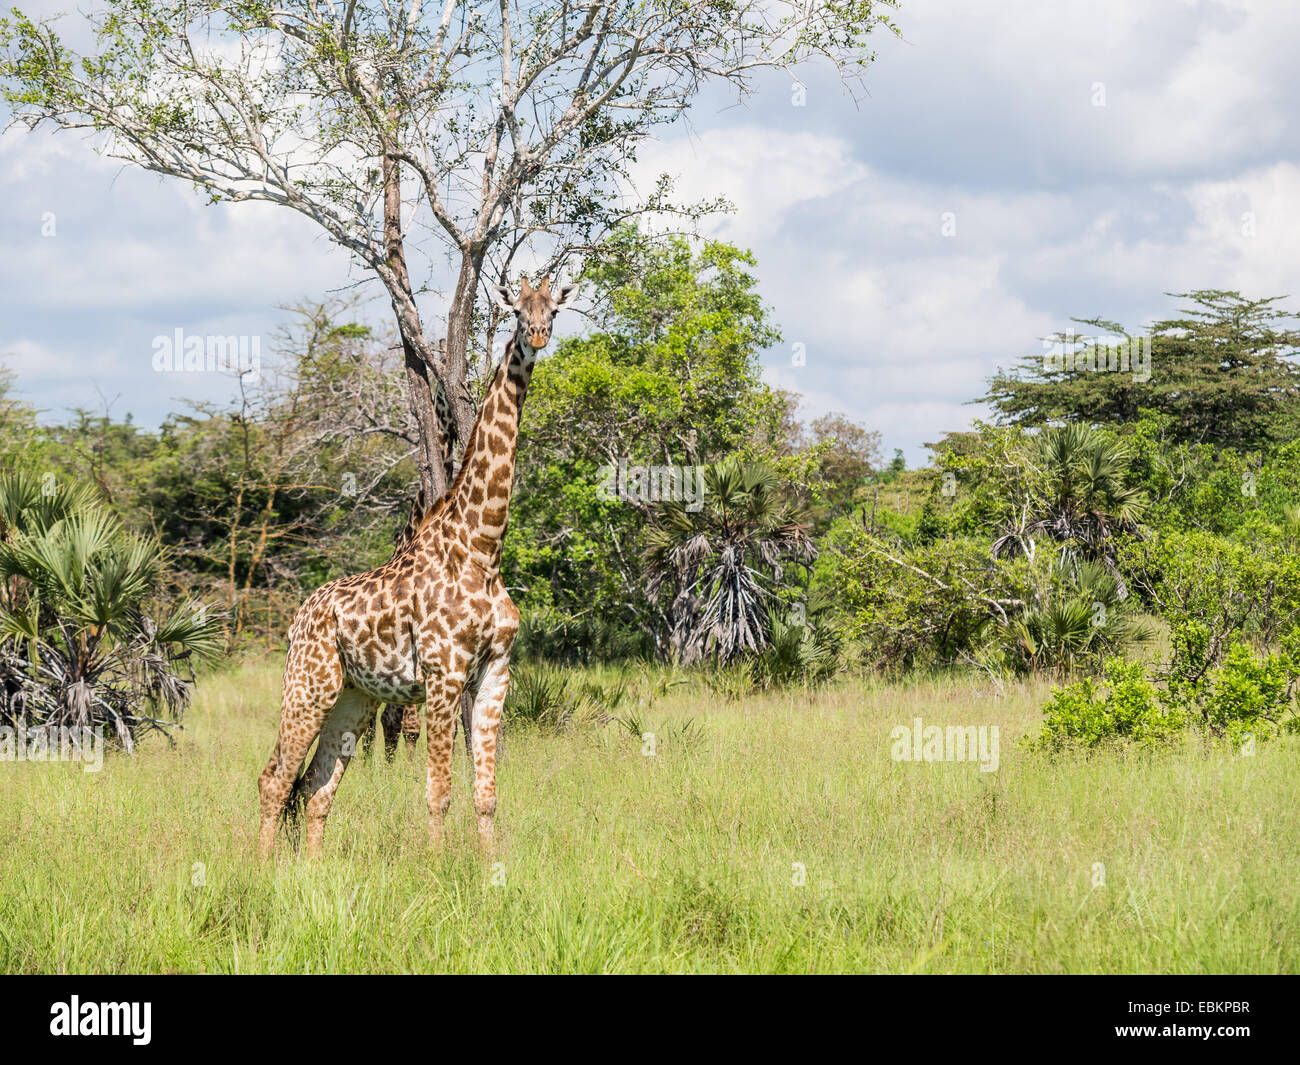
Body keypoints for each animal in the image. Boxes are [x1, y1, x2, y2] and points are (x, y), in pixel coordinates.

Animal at [257, 276, 578, 858]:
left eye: (554, 308)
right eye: (518, 310)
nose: (538, 336)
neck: (483, 547)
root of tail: (297, 618)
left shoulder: (495, 673)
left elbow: (486, 794)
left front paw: (490, 869)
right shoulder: (443, 674)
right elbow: (438, 791)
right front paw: (434, 868)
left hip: (354, 695)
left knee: (315, 785)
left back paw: (310, 871)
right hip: (308, 683)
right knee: (275, 777)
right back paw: (261, 867)